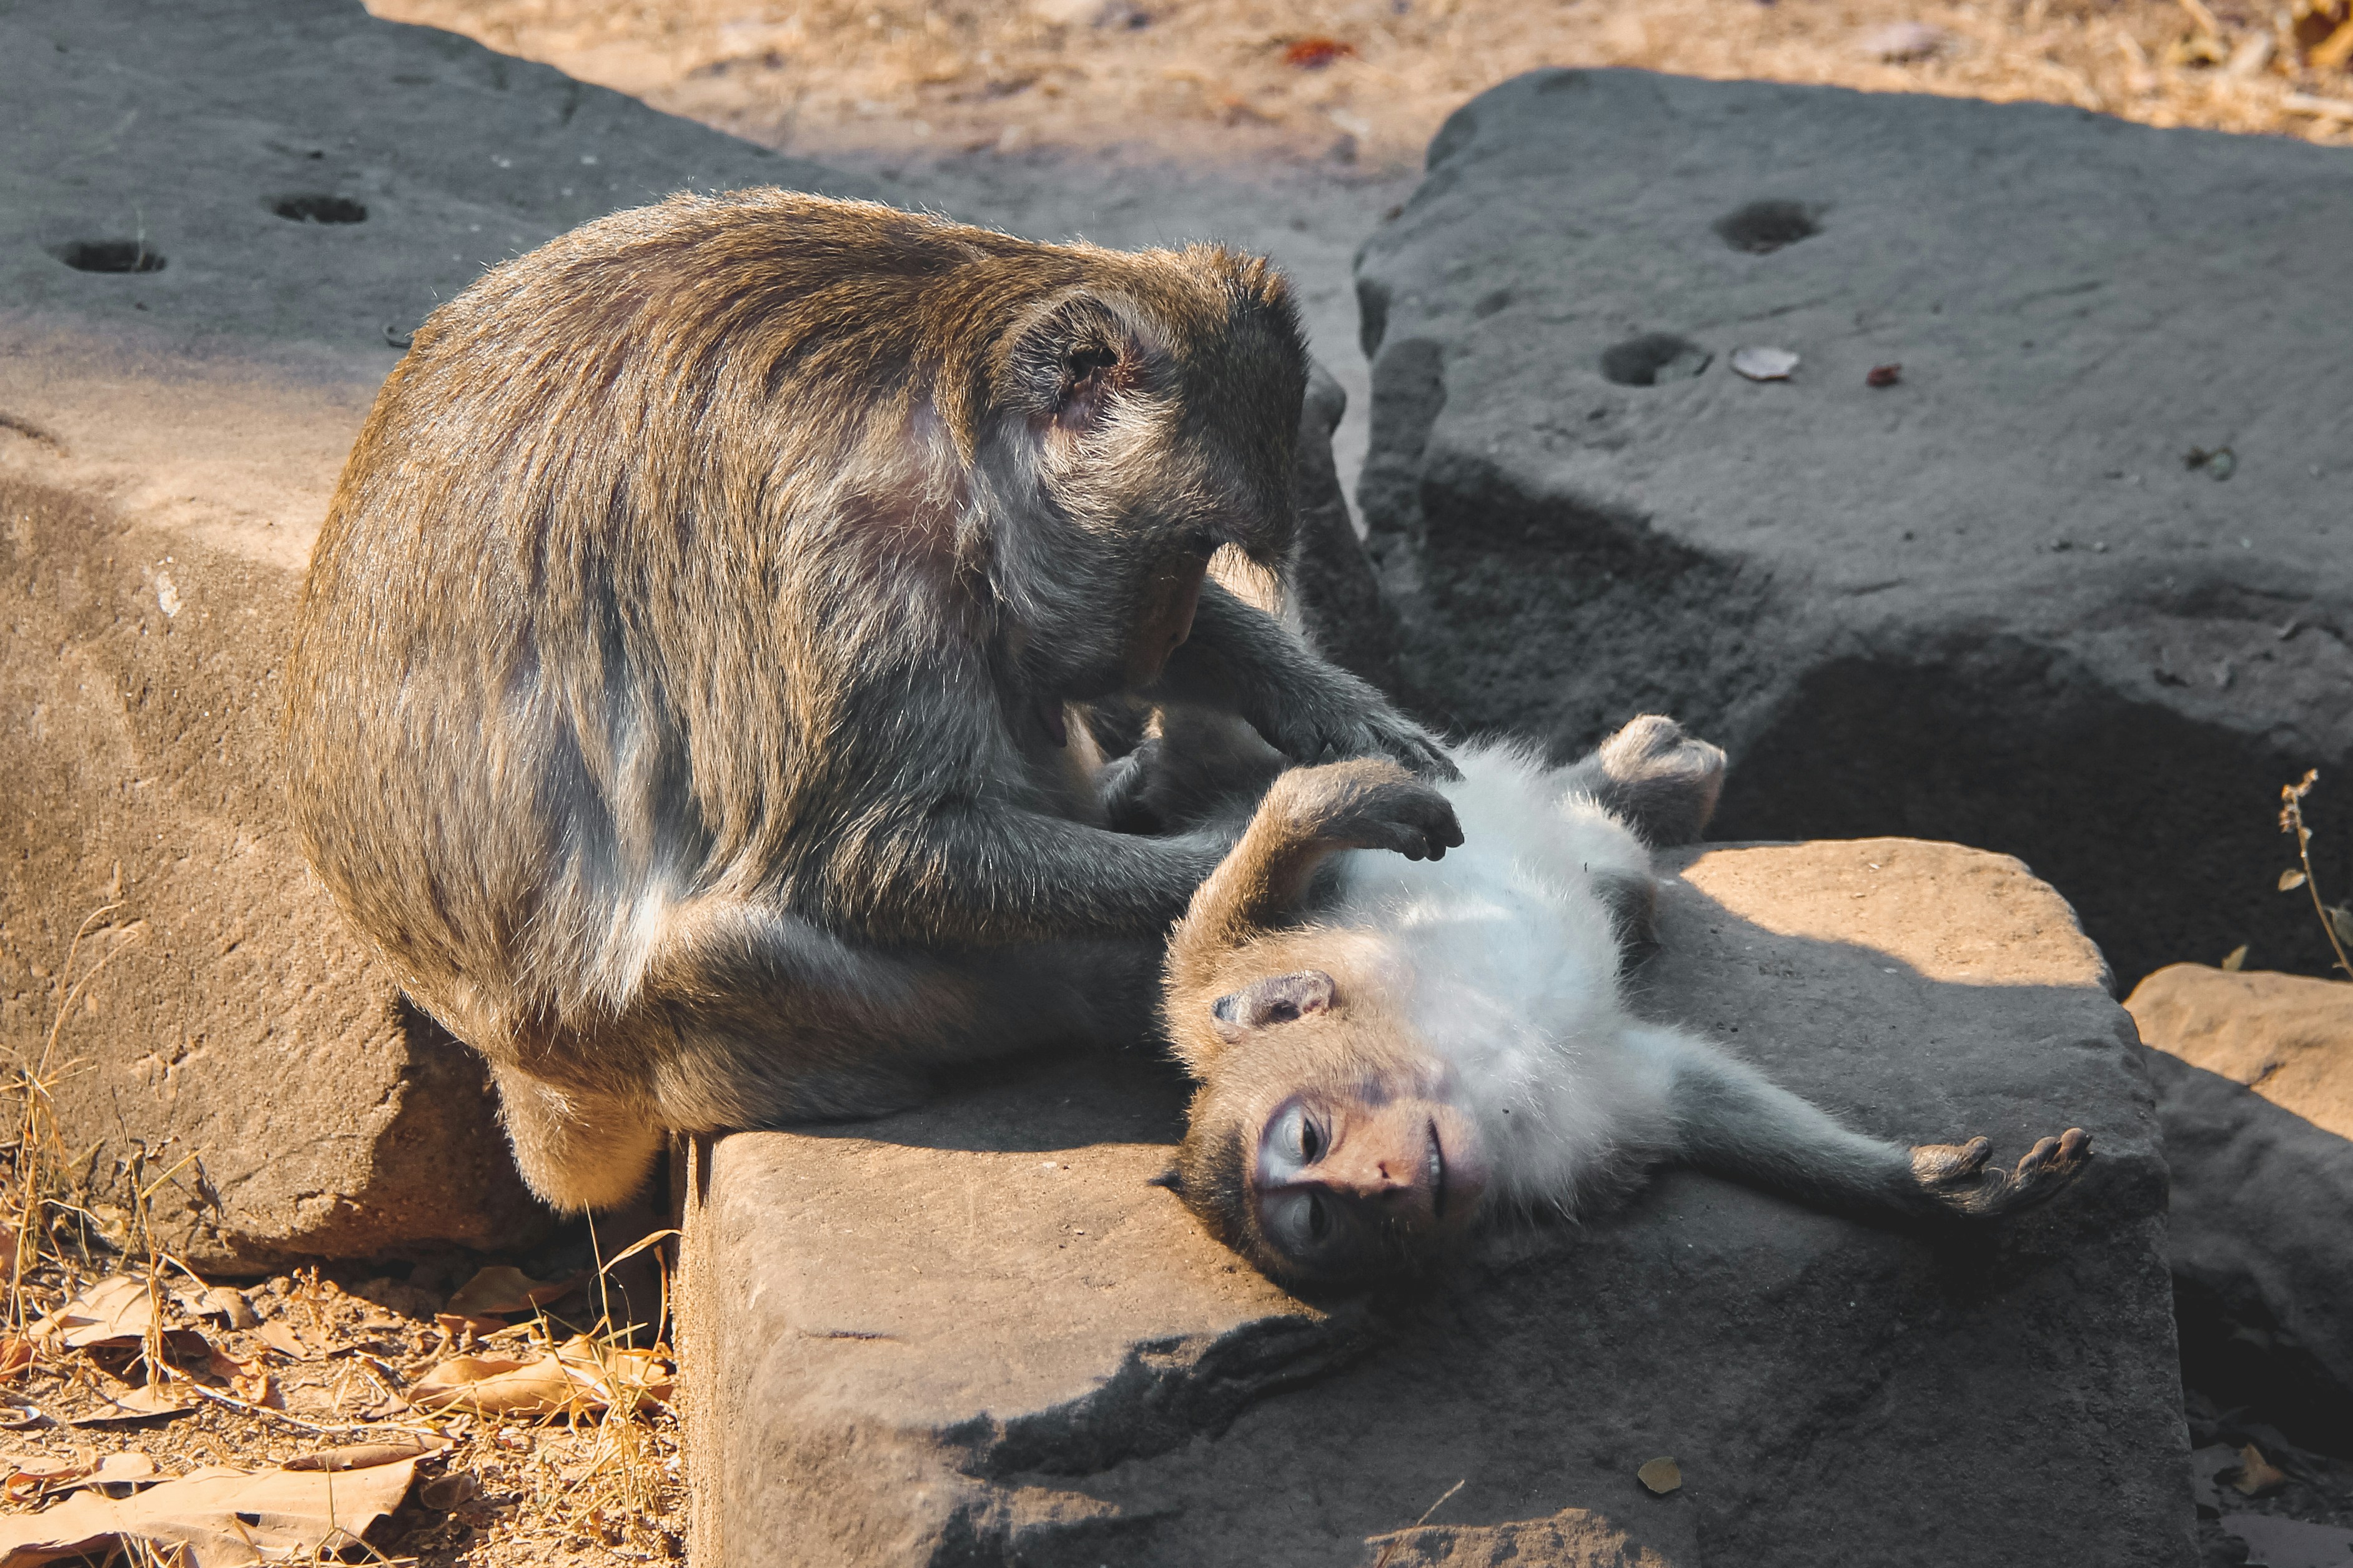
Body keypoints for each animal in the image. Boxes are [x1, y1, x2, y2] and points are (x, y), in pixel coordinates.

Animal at [282, 188, 1455, 1214]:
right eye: (1190, 542)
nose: (1162, 636)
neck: (947, 421)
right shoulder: (849, 549)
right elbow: (865, 854)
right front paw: (1272, 832)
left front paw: (1317, 698)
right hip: (715, 1036)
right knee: (725, 944)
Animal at [1155, 715, 2096, 1286]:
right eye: (1322, 1218)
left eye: (1308, 1139)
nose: (1380, 1182)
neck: (1458, 1068)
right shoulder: (1583, 1142)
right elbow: (1688, 1095)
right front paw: (1918, 1193)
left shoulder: (1281, 967)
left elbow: (1212, 947)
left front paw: (1327, 799)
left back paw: (1640, 772)